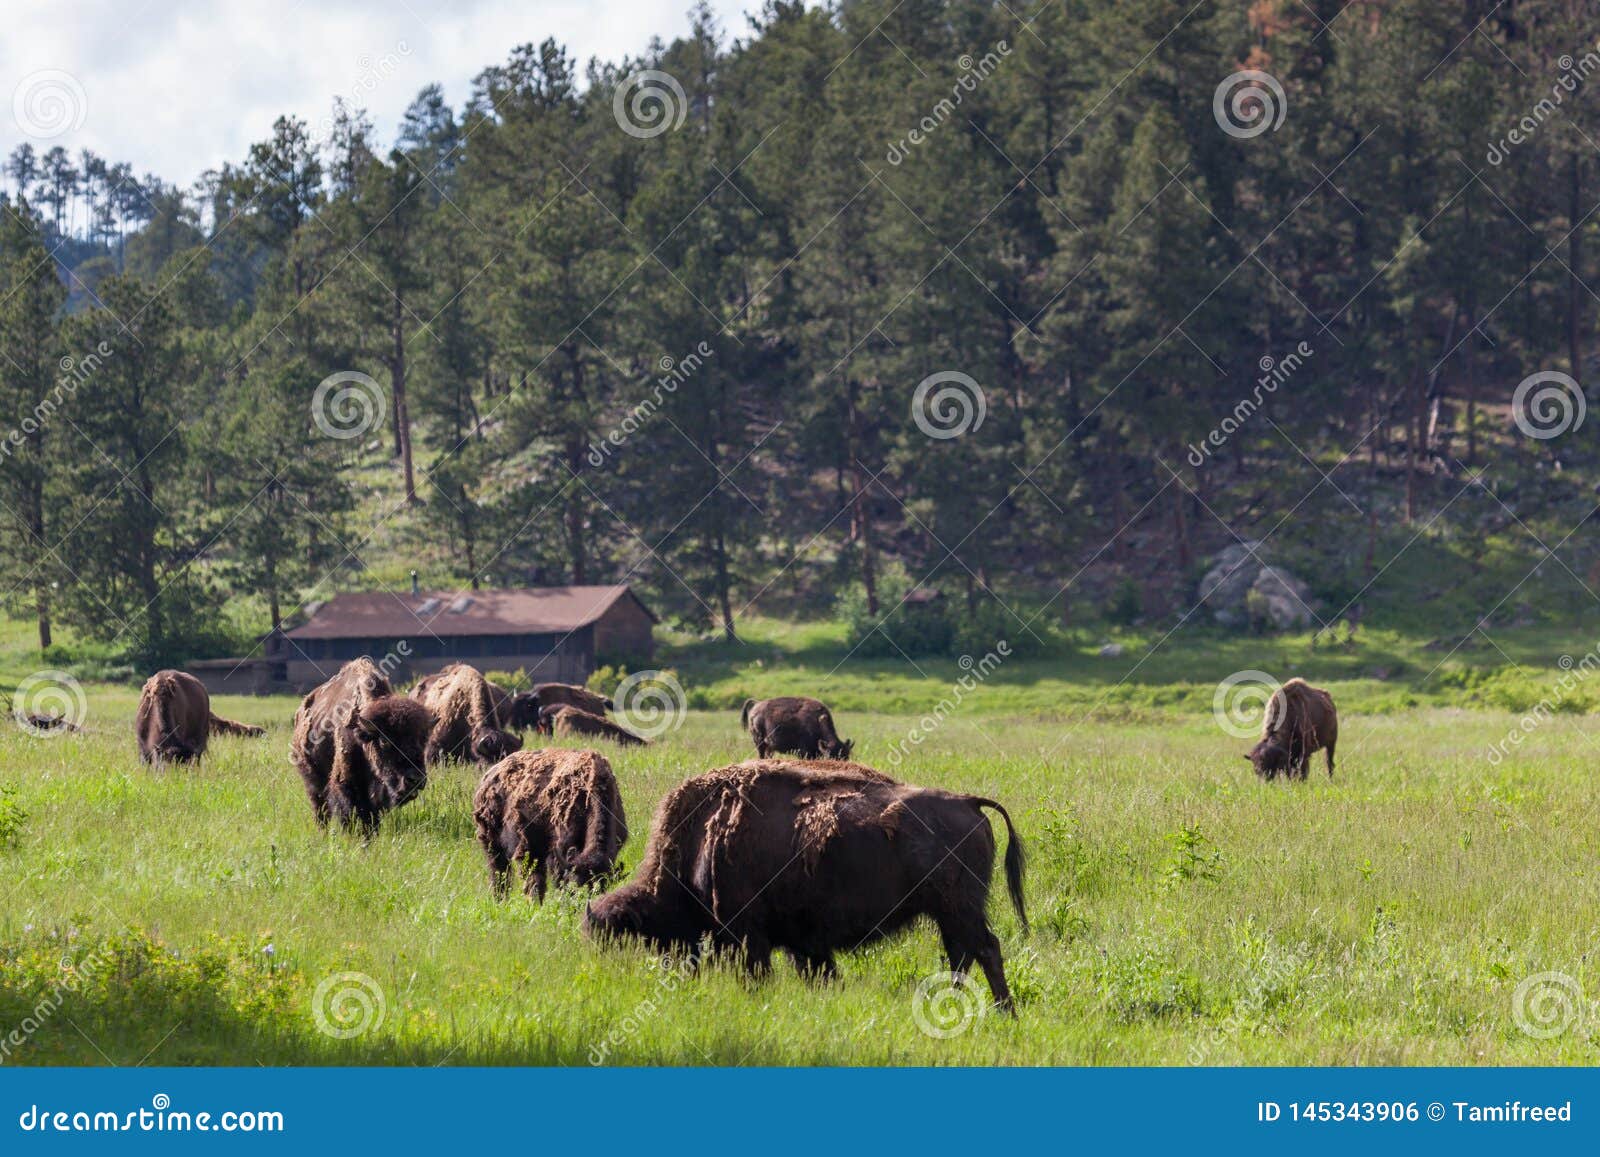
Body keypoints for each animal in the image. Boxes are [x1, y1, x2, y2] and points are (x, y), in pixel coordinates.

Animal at [290, 657, 434, 833]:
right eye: (384, 740)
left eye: (423, 740)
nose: (415, 779)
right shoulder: (345, 784)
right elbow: (349, 814)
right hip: (312, 781)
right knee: (321, 810)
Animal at [473, 748, 628, 901]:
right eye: (576, 885)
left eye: (603, 887)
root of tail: (489, 776)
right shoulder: (559, 850)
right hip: (493, 845)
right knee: (501, 875)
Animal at [584, 759, 1026, 1009]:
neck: (699, 842)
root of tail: (968, 802)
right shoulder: (803, 941)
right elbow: (817, 970)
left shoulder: (750, 935)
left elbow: (760, 973)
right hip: (948, 913)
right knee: (961, 955)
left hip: (959, 908)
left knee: (985, 949)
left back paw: (1003, 1011)